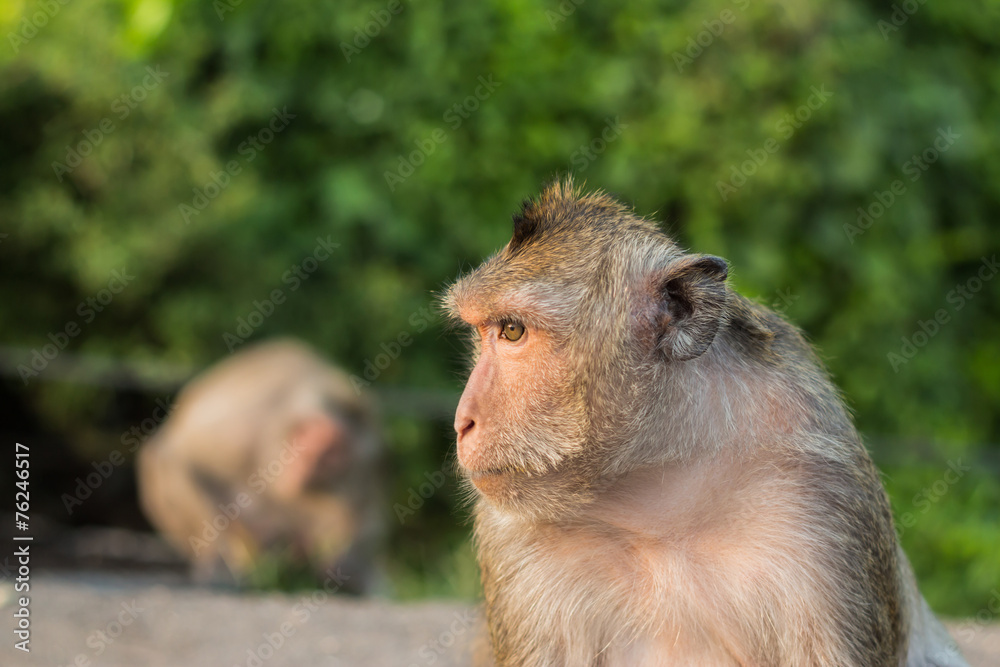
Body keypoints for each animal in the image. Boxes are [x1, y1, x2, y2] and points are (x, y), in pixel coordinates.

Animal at [137, 338, 382, 593]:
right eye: (313, 440)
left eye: (333, 453)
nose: (309, 465)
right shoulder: (251, 424)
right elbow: (179, 458)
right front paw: (220, 564)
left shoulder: (364, 461)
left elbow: (362, 522)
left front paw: (345, 571)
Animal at [444, 180, 967, 666]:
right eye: (482, 332)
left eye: (512, 331)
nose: (461, 422)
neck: (657, 492)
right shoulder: (509, 534)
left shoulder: (825, 496)